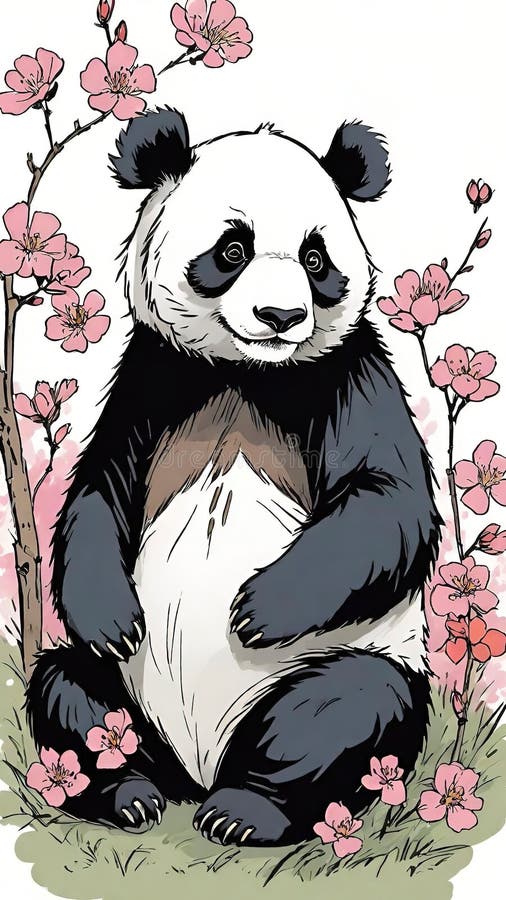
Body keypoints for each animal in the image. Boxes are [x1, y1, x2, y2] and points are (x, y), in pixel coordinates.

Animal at [27, 107, 441, 847]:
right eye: (232, 250)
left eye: (314, 258)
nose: (281, 317)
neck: (246, 372)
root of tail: (196, 770)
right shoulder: (153, 382)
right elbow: (101, 492)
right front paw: (110, 619)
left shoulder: (349, 376)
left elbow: (389, 499)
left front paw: (260, 608)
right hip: (126, 699)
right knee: (70, 691)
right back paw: (128, 794)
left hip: (340, 664)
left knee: (343, 709)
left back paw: (247, 810)